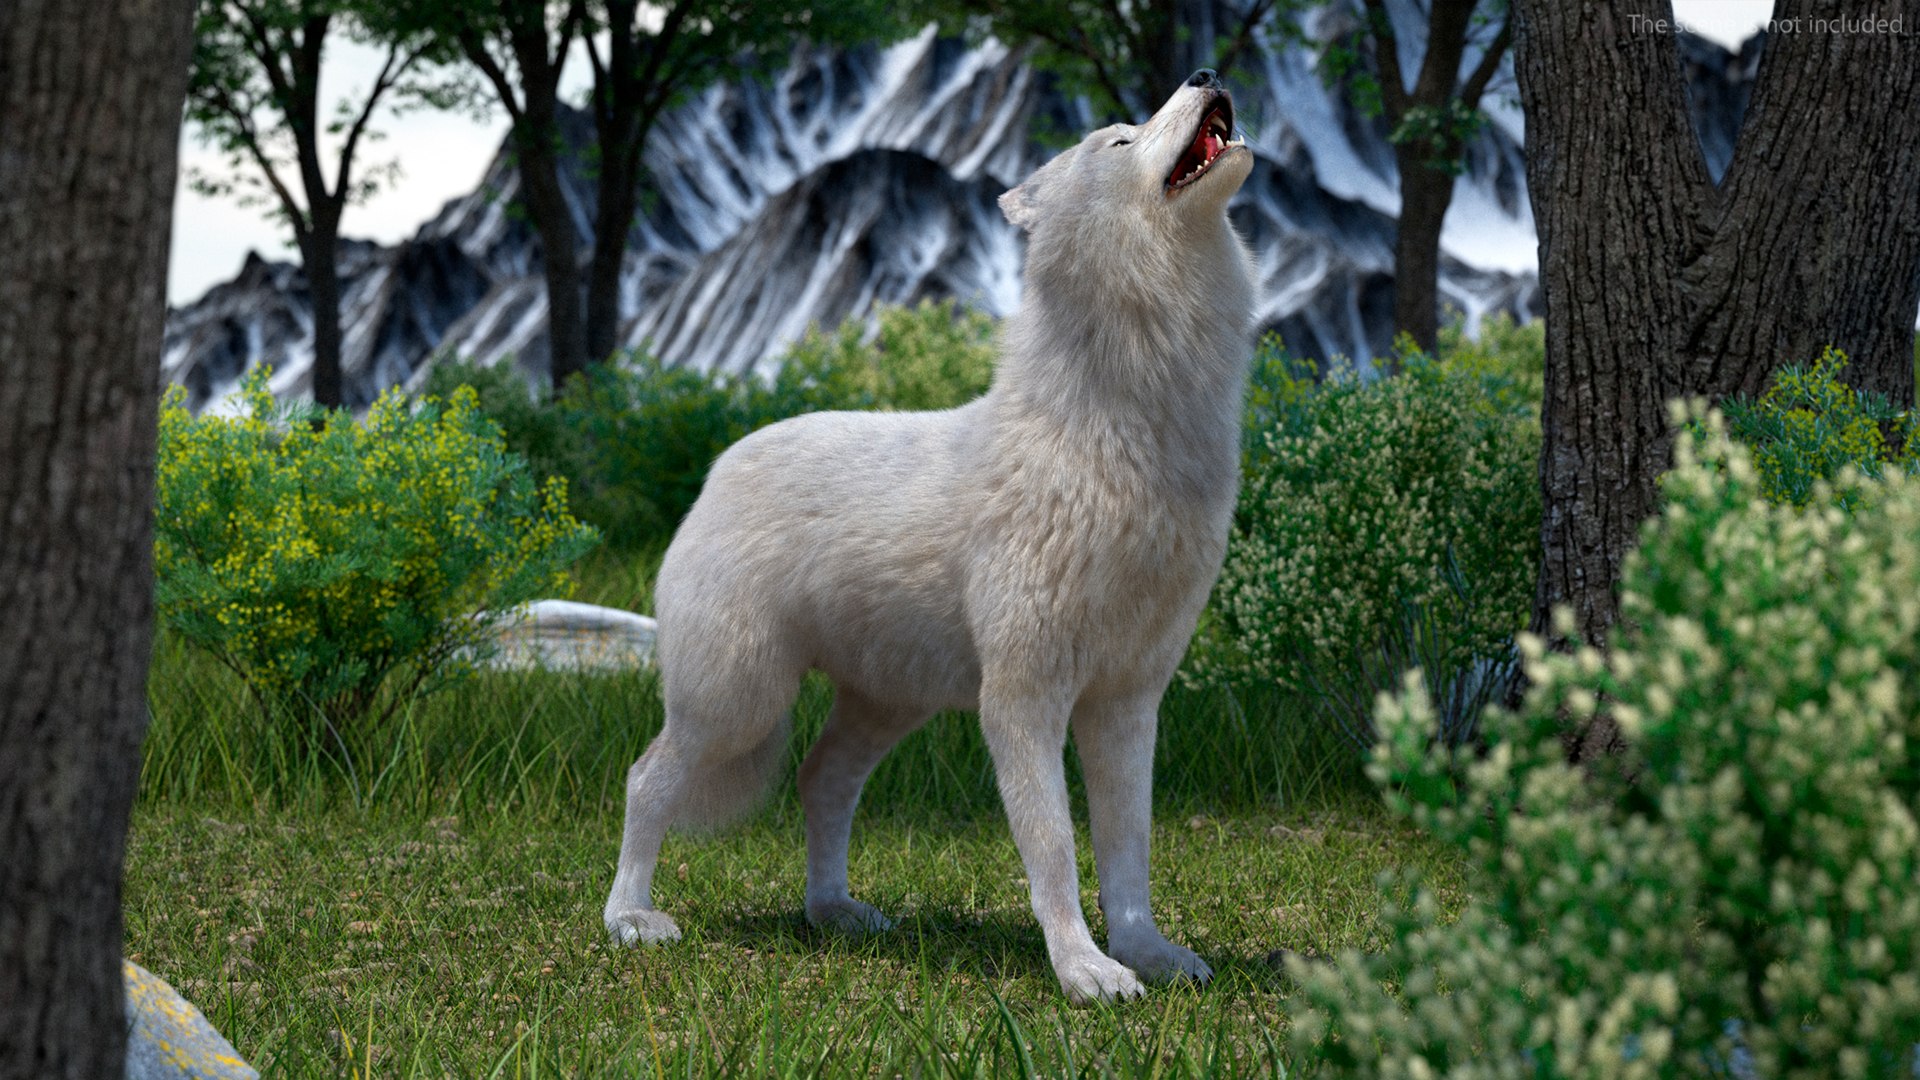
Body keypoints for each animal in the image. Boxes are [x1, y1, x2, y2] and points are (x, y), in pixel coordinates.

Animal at [602, 70, 1257, 1004]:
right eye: (1120, 141)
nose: (1205, 77)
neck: (1126, 429)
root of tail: (720, 466)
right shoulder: (1022, 699)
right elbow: (1055, 847)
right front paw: (1083, 971)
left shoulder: (1128, 701)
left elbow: (1129, 852)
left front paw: (1149, 954)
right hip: (737, 703)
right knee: (647, 779)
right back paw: (630, 918)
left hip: (882, 706)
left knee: (820, 781)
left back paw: (834, 913)